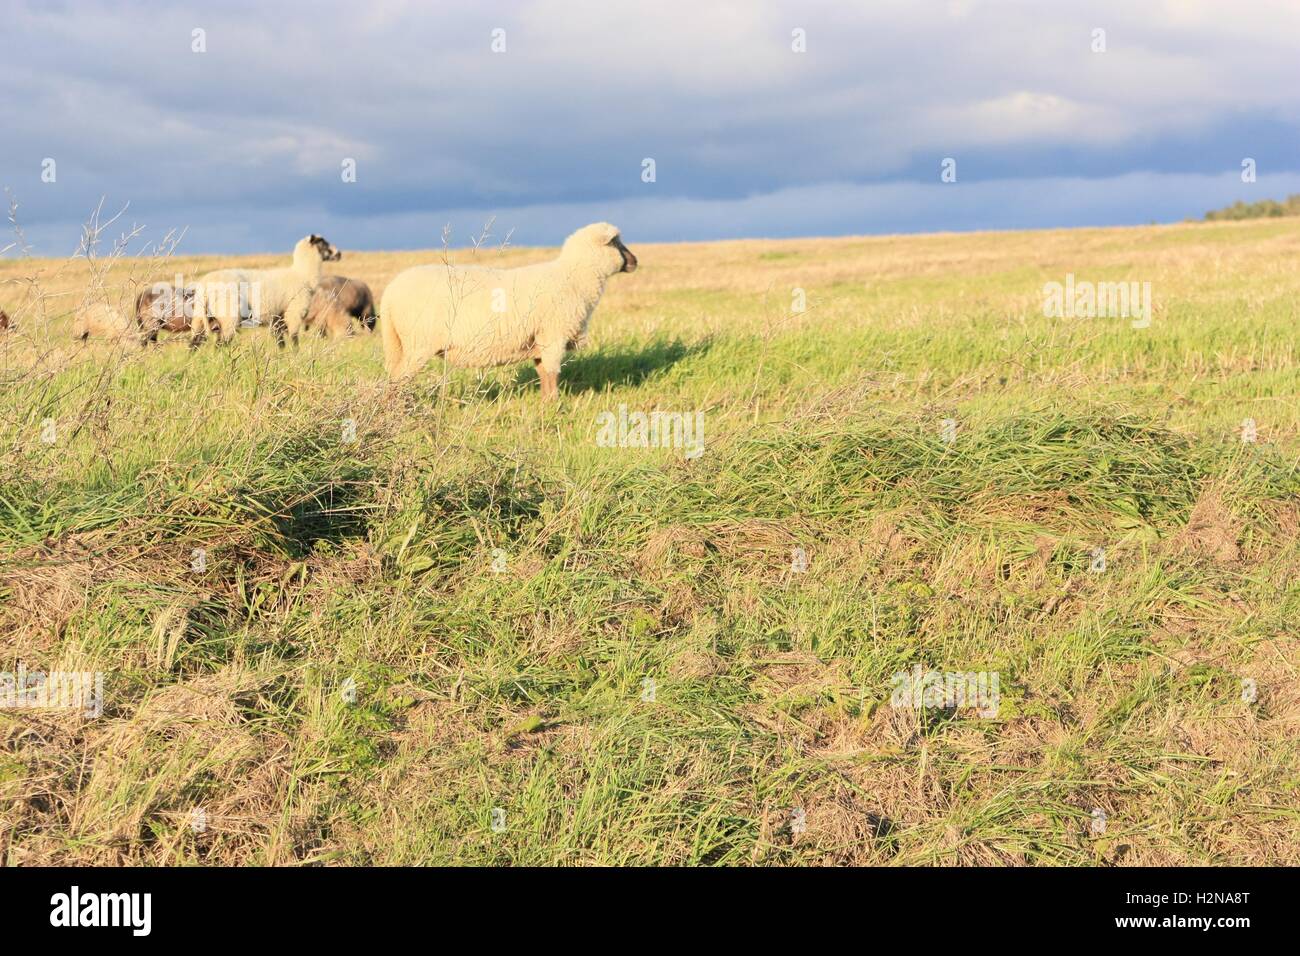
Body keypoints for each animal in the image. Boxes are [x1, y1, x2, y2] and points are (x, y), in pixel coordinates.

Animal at [190, 234, 341, 348]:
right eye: (323, 243)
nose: (339, 254)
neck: (302, 274)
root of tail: (205, 285)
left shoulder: (278, 319)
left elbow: (281, 343)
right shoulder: (293, 314)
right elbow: (294, 341)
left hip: (200, 317)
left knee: (194, 343)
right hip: (228, 317)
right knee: (220, 344)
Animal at [380, 222, 637, 400]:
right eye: (615, 242)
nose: (635, 261)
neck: (574, 277)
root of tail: (390, 293)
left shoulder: (538, 339)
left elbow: (543, 372)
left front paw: (545, 404)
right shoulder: (553, 335)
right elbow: (552, 373)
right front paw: (555, 404)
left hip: (401, 344)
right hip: (418, 343)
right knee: (397, 380)